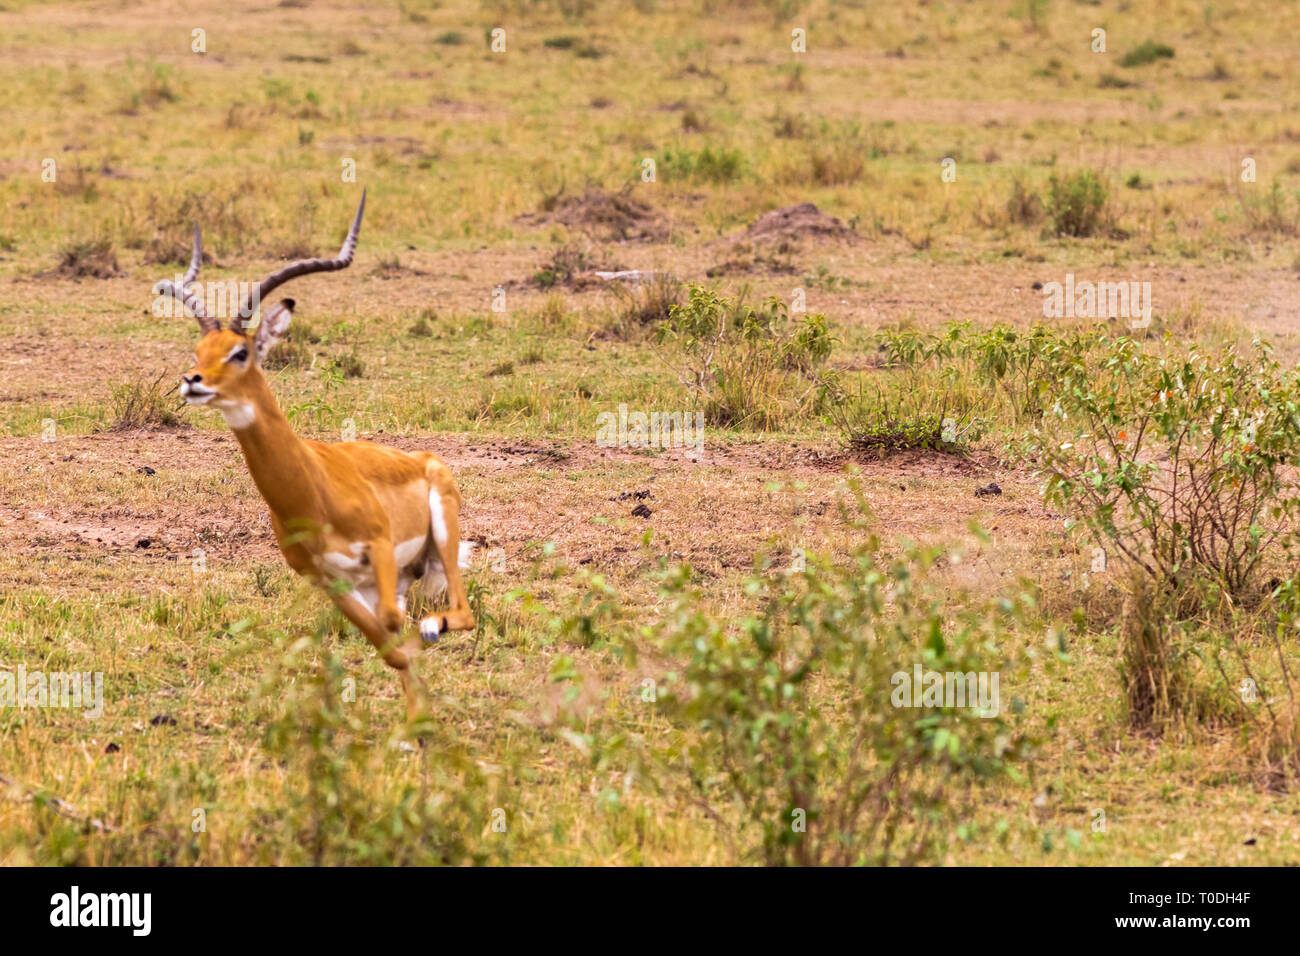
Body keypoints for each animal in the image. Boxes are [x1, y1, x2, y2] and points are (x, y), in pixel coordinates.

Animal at [152, 192, 475, 723]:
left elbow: (394, 629)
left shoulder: (378, 547)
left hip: (439, 540)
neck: (313, 492)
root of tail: (424, 458)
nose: (192, 381)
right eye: (199, 350)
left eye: (240, 352)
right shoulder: (329, 581)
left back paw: (432, 632)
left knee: (458, 612)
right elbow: (387, 645)